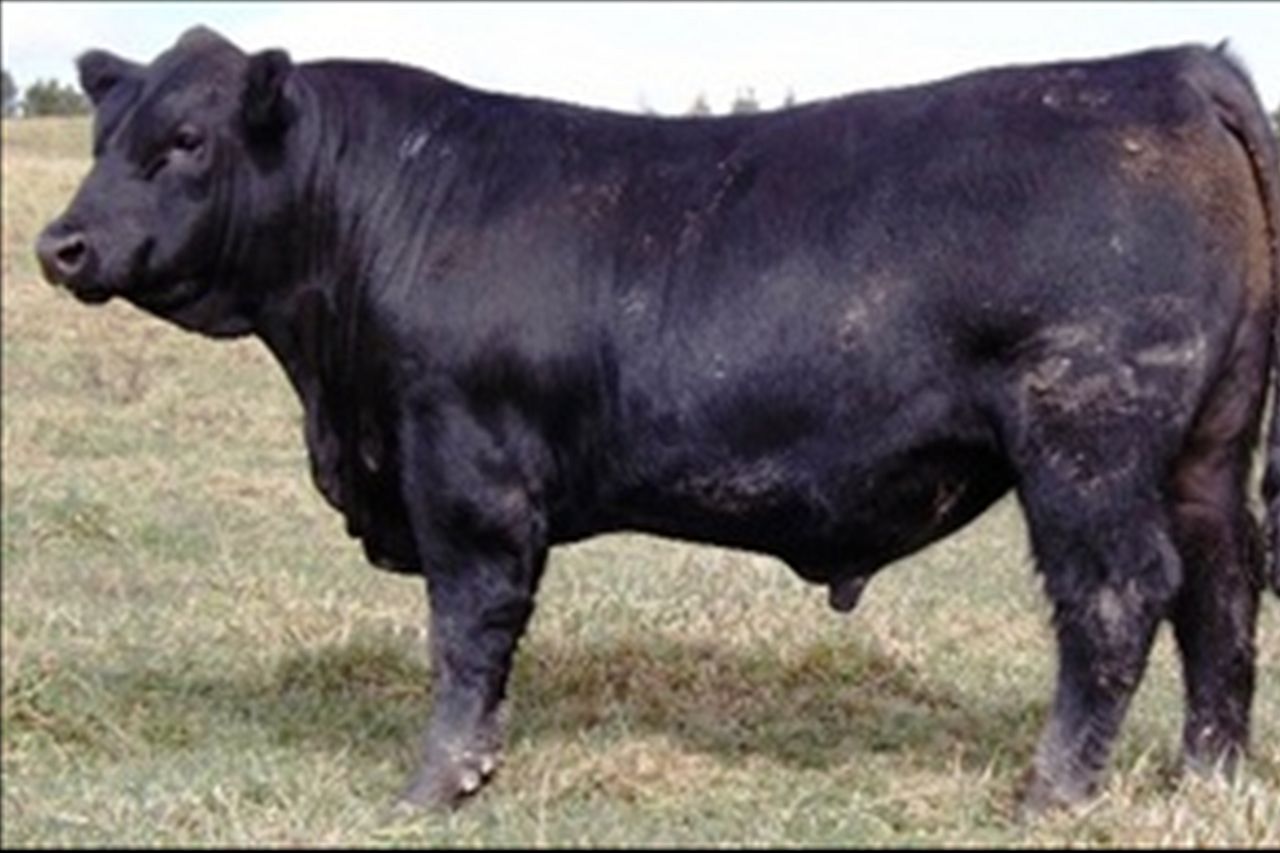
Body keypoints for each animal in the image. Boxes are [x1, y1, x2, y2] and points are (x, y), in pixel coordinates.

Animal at [35, 27, 1279, 814]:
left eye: (187, 140)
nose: (63, 244)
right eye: (103, 135)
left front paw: (435, 783)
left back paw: (1050, 791)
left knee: (1117, 594)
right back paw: (1204, 780)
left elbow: (468, 625)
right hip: (1206, 447)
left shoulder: (465, 463)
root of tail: (1170, 70)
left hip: (1085, 434)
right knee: (1220, 592)